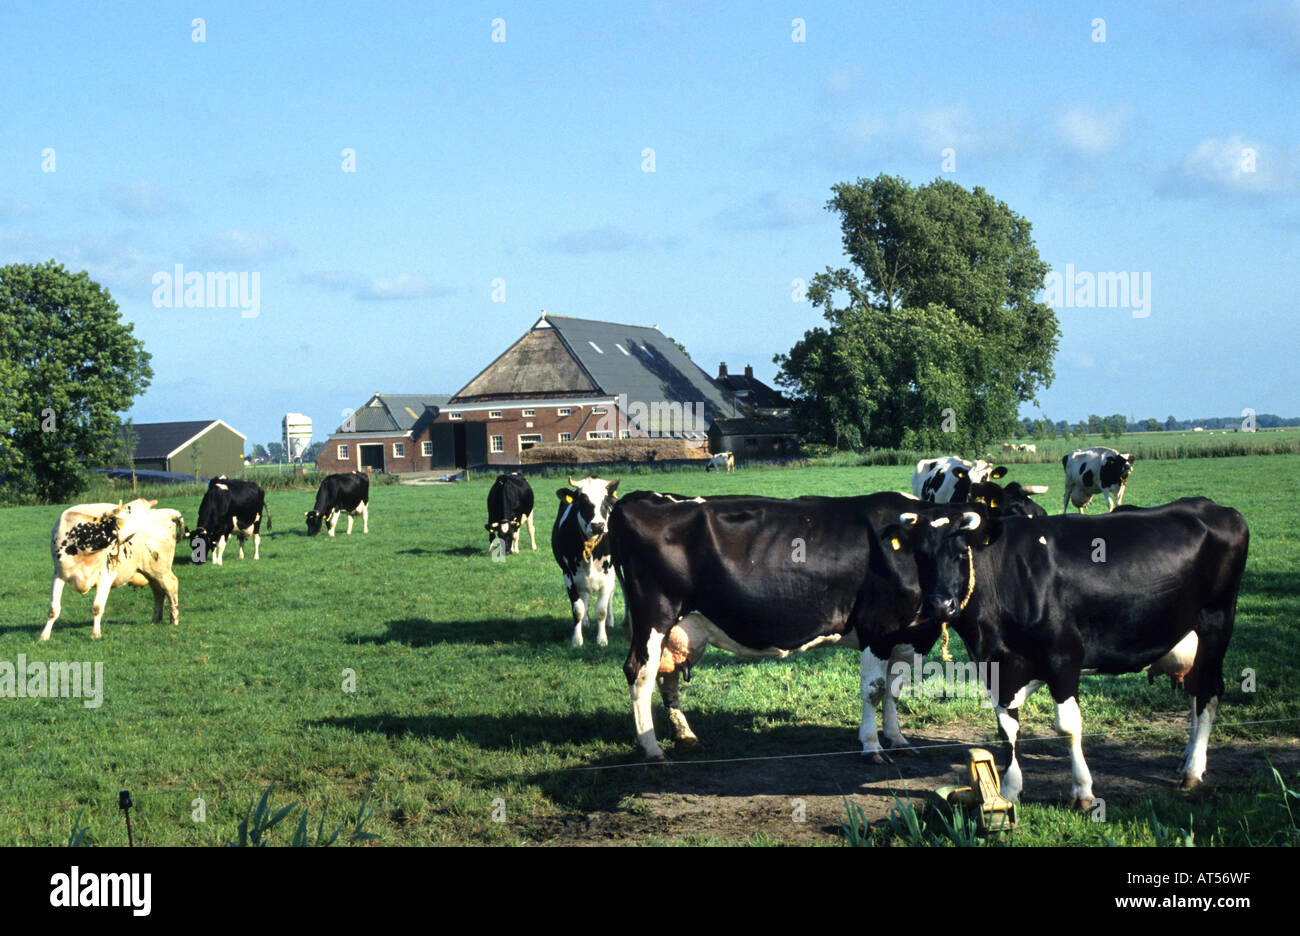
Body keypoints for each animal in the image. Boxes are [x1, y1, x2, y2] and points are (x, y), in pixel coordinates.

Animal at [43, 499, 184, 640]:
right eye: (129, 508)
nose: (145, 501)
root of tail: (167, 512)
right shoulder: (58, 574)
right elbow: (53, 610)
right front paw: (44, 635)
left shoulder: (106, 576)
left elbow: (97, 607)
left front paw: (95, 634)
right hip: (151, 573)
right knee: (159, 592)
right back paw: (155, 620)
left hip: (161, 570)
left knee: (171, 586)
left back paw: (174, 620)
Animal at [552, 476, 620, 647]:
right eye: (583, 502)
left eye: (605, 502)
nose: (598, 525)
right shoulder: (568, 576)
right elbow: (578, 609)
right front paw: (577, 640)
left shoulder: (608, 575)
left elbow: (601, 610)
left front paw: (602, 639)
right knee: (585, 597)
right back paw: (585, 623)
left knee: (610, 596)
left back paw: (610, 621)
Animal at [611, 490, 962, 762]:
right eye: (926, 551)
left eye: (961, 550)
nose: (944, 604)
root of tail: (637, 498)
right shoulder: (876, 628)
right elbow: (874, 689)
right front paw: (872, 746)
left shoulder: (905, 636)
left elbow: (894, 688)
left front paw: (898, 740)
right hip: (654, 615)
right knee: (639, 673)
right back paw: (653, 749)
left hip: (678, 627)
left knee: (665, 675)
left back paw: (685, 737)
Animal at [882, 497, 1248, 809]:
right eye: (920, 556)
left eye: (960, 552)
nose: (940, 605)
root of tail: (1215, 508)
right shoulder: (996, 666)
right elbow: (1007, 729)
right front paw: (1009, 791)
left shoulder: (1064, 659)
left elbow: (1067, 728)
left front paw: (1083, 791)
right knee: (1195, 694)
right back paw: (1186, 759)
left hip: (1216, 623)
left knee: (1208, 692)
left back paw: (1193, 772)